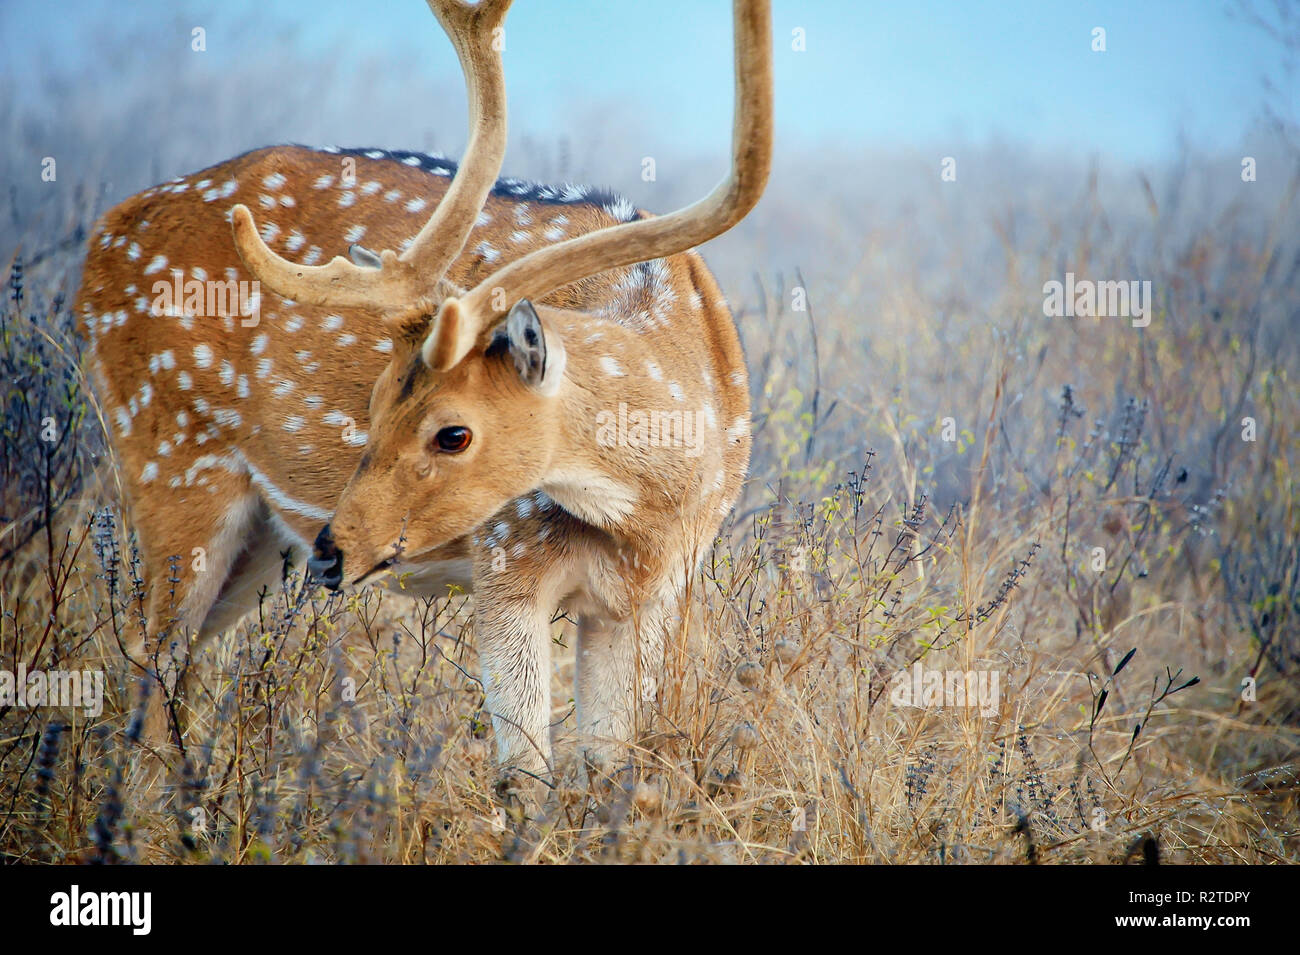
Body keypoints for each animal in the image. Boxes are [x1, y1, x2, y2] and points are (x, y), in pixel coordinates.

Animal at [74, 0, 771, 784]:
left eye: (453, 431)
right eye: (373, 403)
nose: (333, 552)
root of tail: (103, 233)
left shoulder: (649, 596)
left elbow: (607, 765)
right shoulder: (508, 558)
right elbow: (524, 775)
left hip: (258, 531)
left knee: (180, 661)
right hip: (169, 452)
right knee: (146, 655)